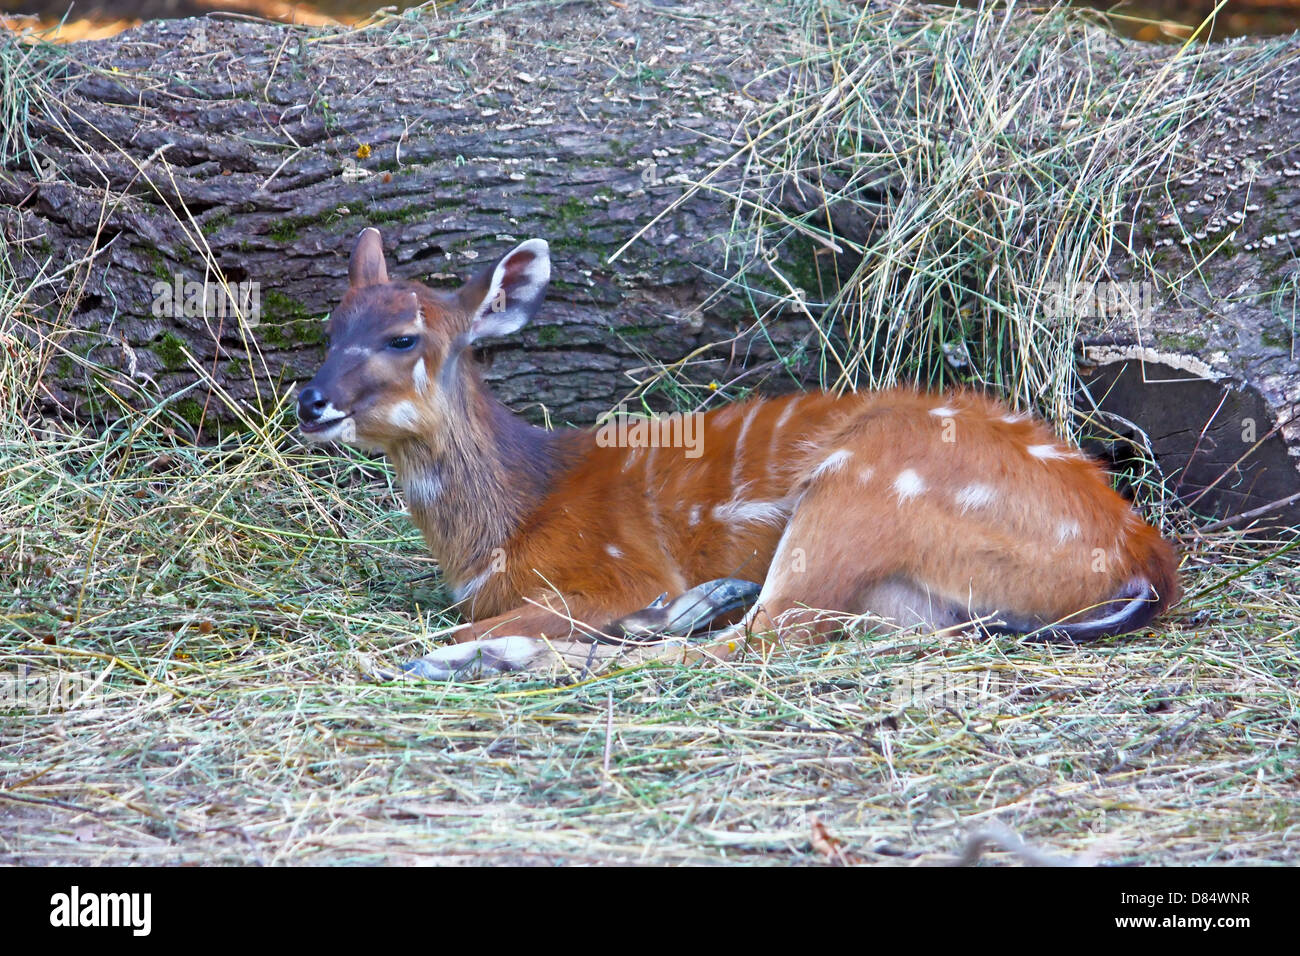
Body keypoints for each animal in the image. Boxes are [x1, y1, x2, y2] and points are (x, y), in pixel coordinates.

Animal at [297, 228, 1179, 679]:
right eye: (330, 327)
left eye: (403, 337)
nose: (311, 401)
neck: (509, 520)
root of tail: (1143, 559)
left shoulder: (609, 568)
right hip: (899, 589)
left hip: (861, 492)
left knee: (746, 643)